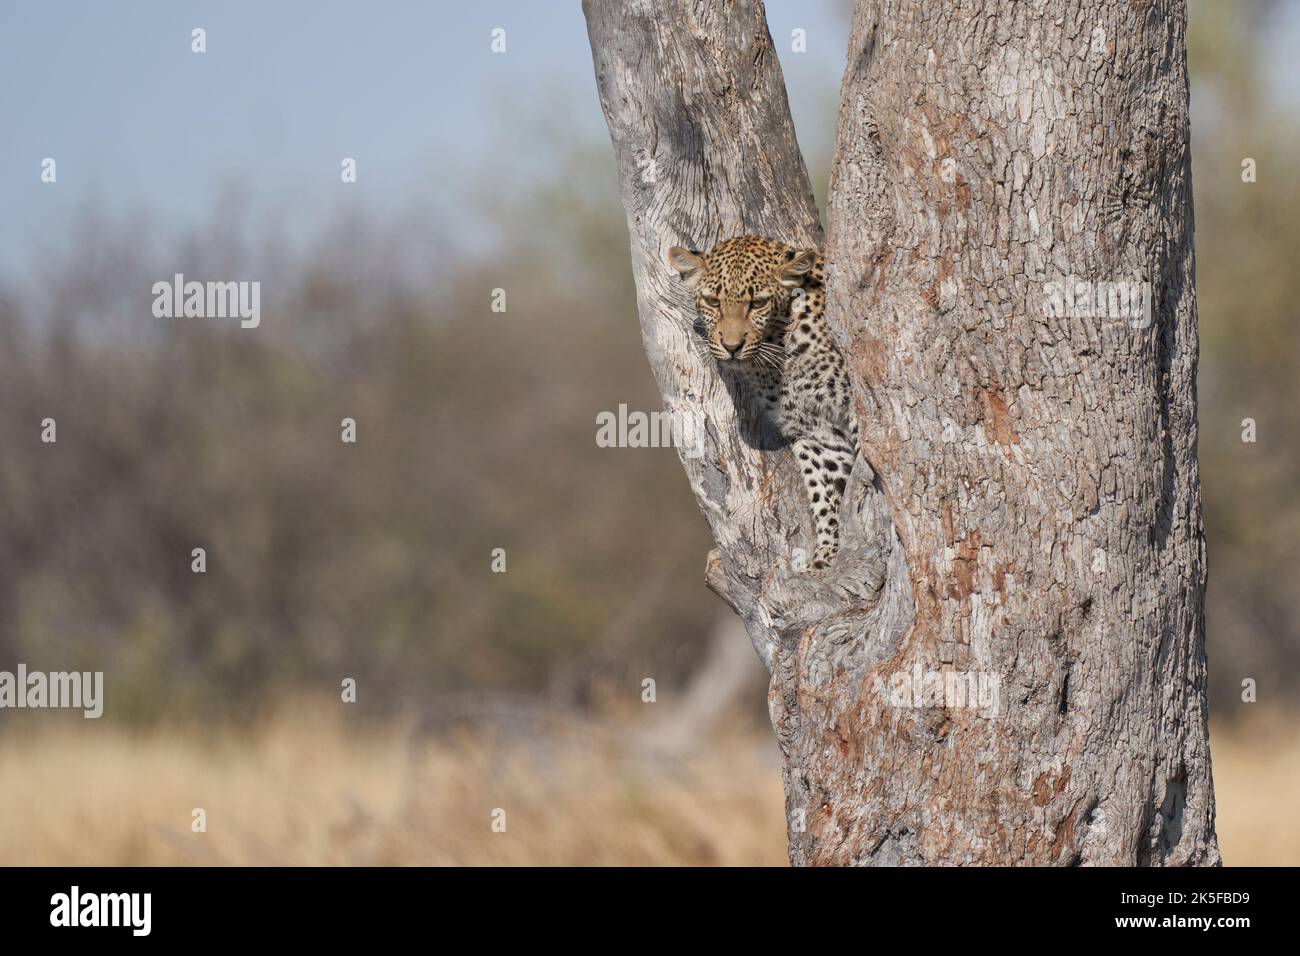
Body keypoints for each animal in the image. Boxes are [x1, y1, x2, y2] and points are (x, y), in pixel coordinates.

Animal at [668, 235, 858, 571]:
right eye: (713, 301)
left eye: (758, 303)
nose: (732, 347)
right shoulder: (816, 433)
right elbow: (825, 495)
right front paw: (825, 557)